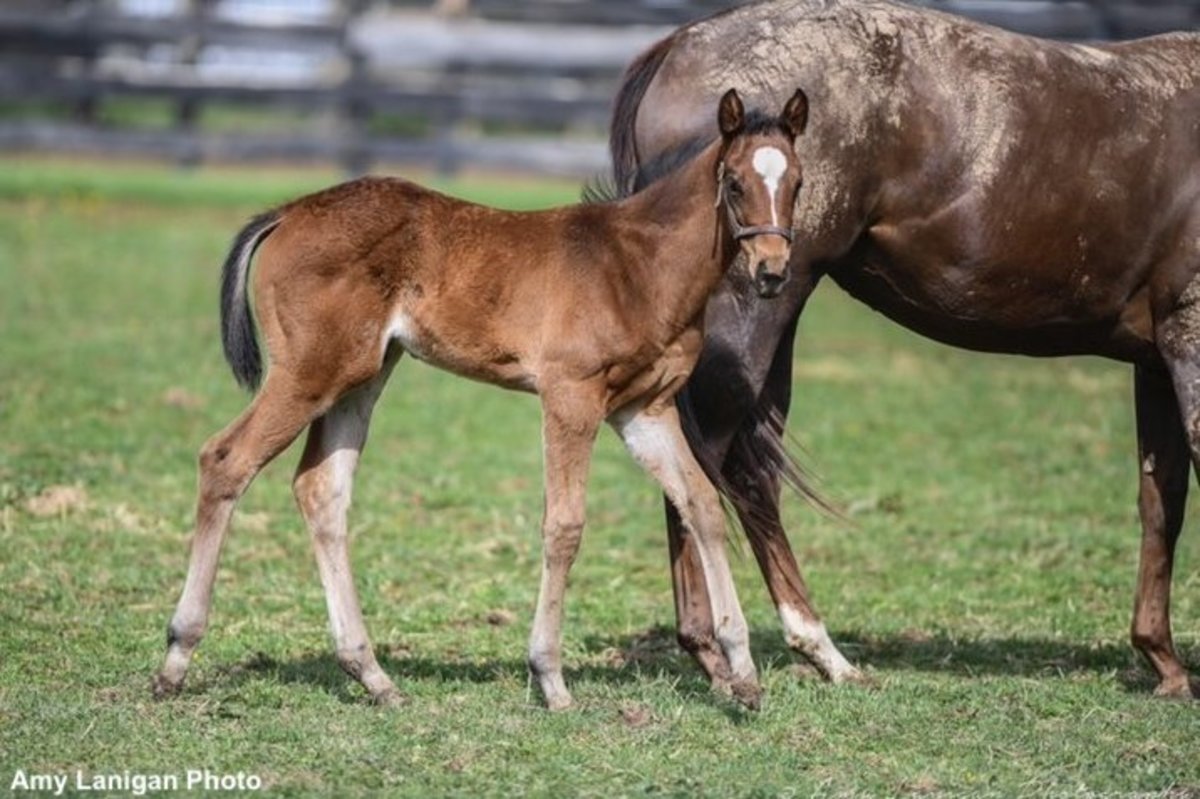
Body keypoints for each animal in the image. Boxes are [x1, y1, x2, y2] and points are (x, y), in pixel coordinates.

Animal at [151, 88, 811, 710]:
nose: (772, 271)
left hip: (362, 374)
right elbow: (564, 525)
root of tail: (287, 212)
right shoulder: (570, 396)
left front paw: (743, 674)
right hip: (310, 372)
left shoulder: (643, 410)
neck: (636, 265)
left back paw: (372, 675)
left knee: (321, 490)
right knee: (225, 460)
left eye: (798, 182)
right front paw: (550, 678)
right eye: (734, 182)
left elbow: (702, 505)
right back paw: (177, 657)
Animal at [609, 0, 1200, 698]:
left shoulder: (1157, 361)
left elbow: (1162, 501)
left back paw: (816, 651)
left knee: (746, 477)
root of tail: (681, 44)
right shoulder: (1188, 341)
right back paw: (720, 651)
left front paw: (1164, 662)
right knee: (704, 470)